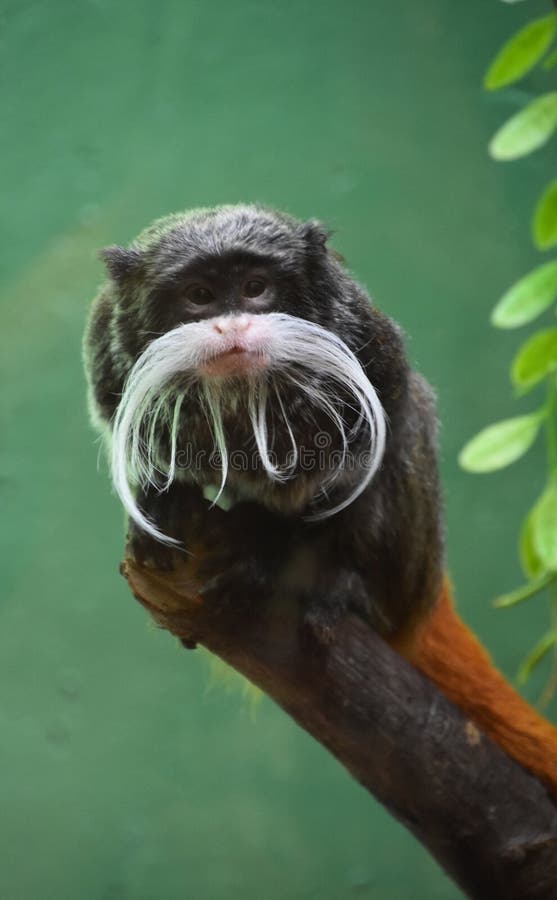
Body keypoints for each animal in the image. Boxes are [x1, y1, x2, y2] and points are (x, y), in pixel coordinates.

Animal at [84, 204, 557, 797]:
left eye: (256, 288)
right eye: (200, 296)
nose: (232, 326)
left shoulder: (365, 339)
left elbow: (383, 424)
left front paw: (264, 548)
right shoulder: (109, 359)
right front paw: (163, 505)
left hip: (409, 575)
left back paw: (343, 588)